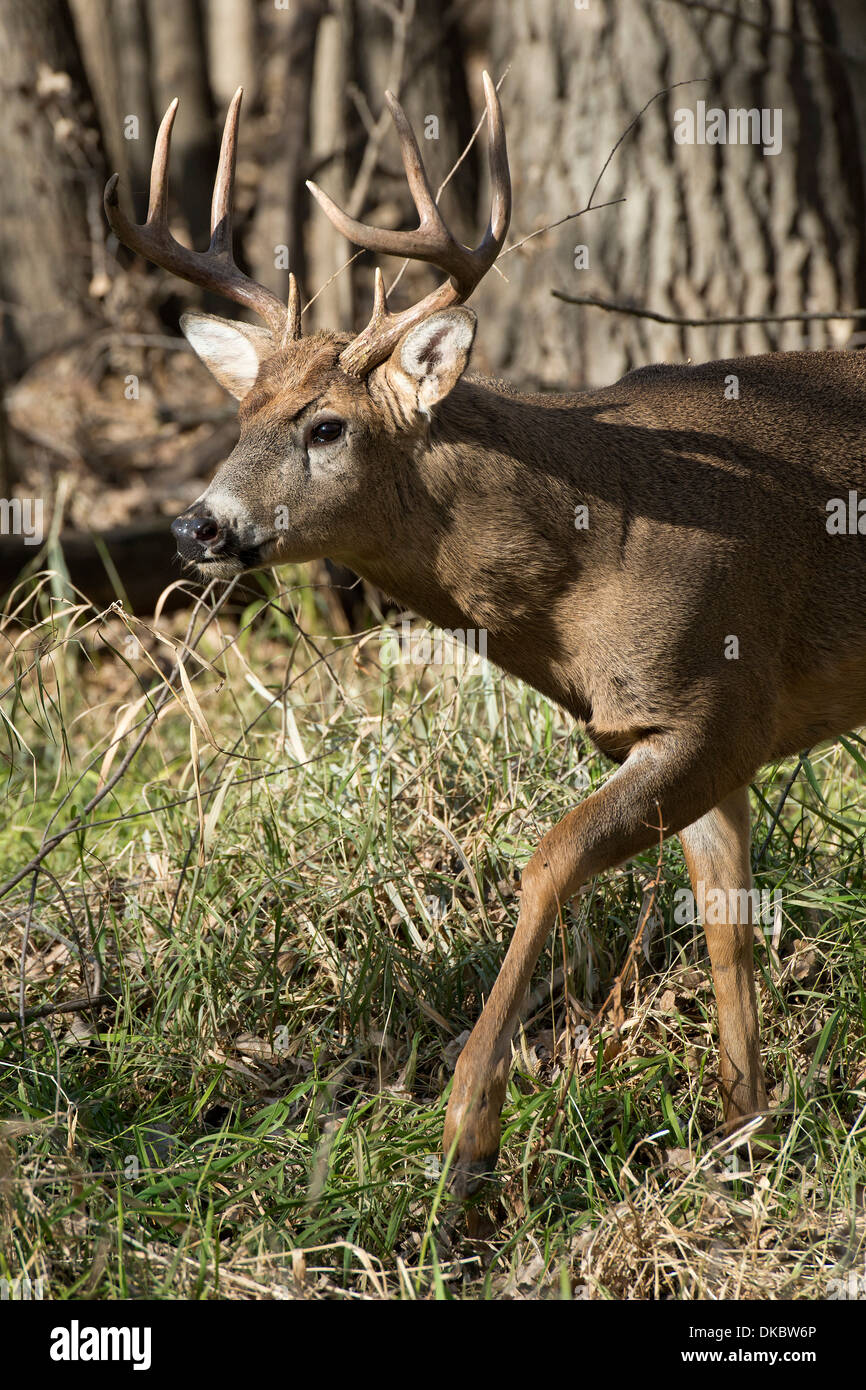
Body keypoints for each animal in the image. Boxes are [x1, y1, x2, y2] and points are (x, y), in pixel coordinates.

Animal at [105, 78, 866, 1196]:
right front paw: (742, 1131)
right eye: (241, 415)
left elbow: (548, 858)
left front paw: (466, 1141)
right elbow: (726, 925)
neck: (583, 569)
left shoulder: (717, 702)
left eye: (326, 426)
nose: (194, 526)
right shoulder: (691, 731)